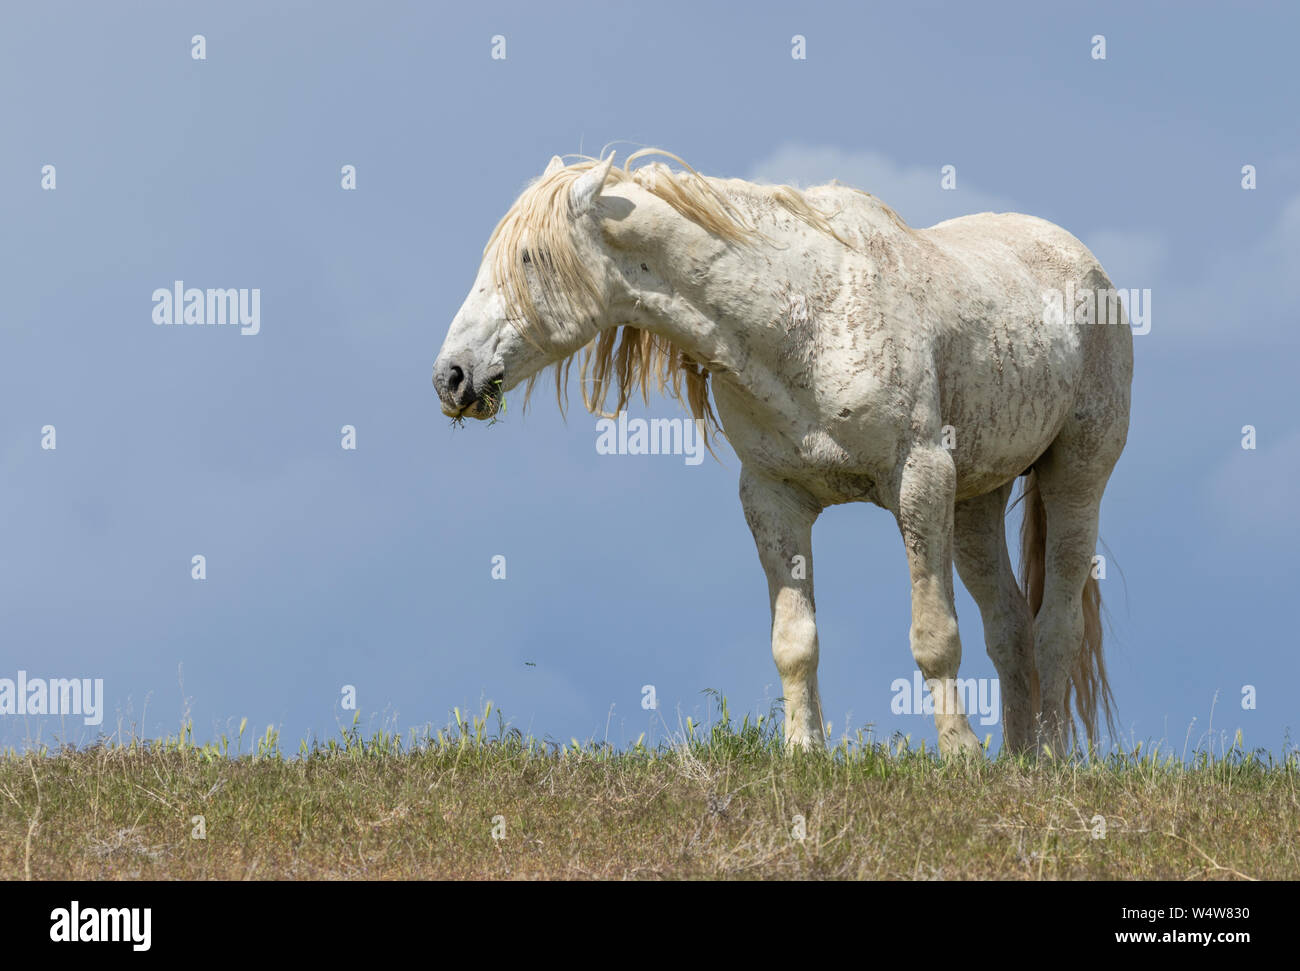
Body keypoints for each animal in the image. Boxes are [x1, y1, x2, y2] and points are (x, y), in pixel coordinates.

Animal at [432, 149, 1132, 757]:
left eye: (530, 258)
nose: (451, 378)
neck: (802, 320)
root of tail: (1084, 263)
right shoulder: (773, 497)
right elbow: (795, 642)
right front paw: (803, 753)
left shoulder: (920, 479)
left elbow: (935, 636)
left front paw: (957, 755)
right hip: (975, 503)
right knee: (1010, 626)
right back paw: (1019, 759)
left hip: (1075, 477)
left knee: (1055, 626)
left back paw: (1049, 755)